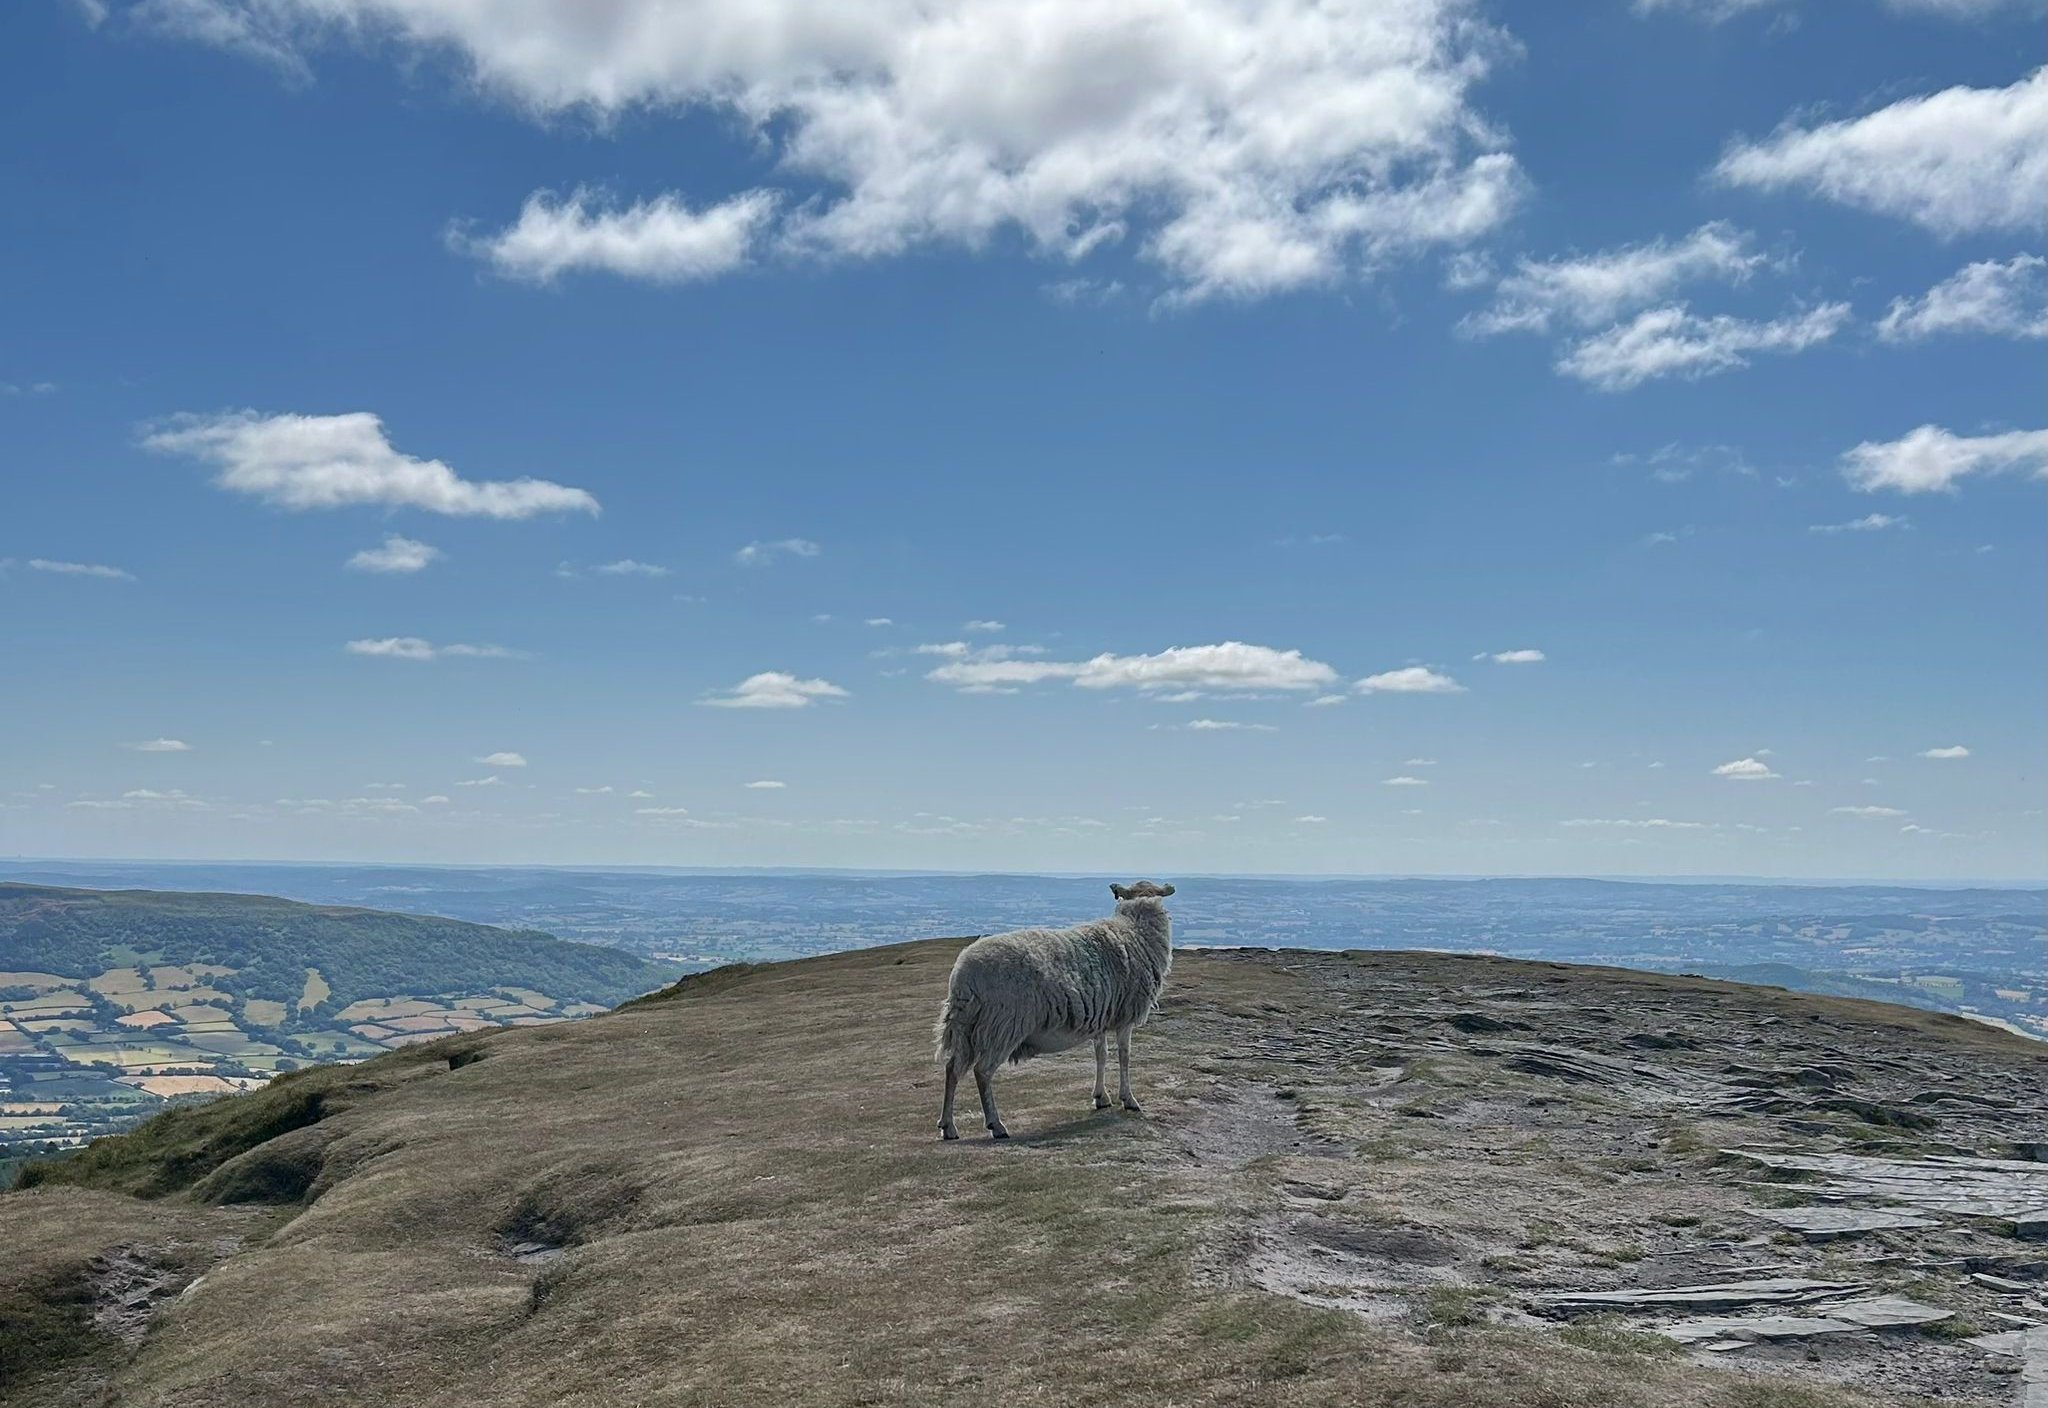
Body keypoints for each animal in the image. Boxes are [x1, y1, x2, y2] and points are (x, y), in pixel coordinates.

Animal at [935, 880, 1175, 1141]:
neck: (1133, 929)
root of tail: (962, 977)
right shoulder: (1125, 1016)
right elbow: (1124, 1056)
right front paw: (1128, 1099)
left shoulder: (1100, 1016)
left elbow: (1101, 1055)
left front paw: (1101, 1097)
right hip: (1003, 1025)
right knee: (982, 1071)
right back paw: (995, 1125)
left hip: (967, 1027)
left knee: (952, 1069)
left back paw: (948, 1126)